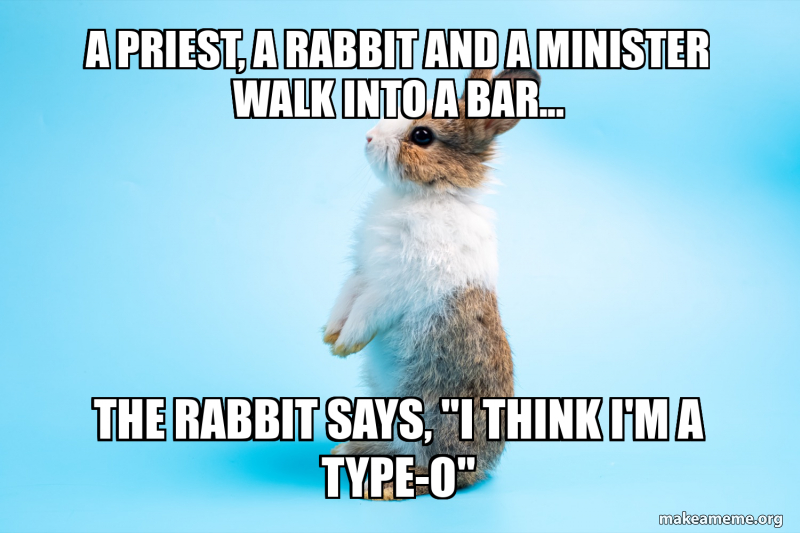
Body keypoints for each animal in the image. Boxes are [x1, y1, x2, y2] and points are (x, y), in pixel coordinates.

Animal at [323, 67, 540, 499]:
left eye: (422, 135)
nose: (368, 138)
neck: (425, 194)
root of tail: (485, 464)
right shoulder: (362, 271)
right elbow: (347, 297)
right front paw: (330, 334)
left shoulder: (395, 285)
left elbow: (368, 309)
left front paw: (346, 344)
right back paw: (351, 450)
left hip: (432, 420)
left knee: (442, 473)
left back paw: (391, 485)